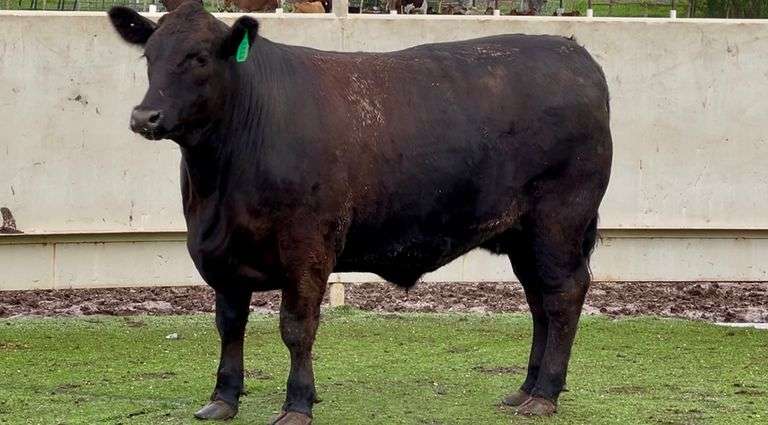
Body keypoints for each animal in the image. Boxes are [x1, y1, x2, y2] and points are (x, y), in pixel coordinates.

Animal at [107, 1, 612, 423]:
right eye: (149, 55)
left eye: (199, 58)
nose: (144, 117)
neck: (219, 181)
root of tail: (574, 53)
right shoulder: (221, 254)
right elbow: (230, 324)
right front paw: (223, 399)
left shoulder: (307, 247)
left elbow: (297, 327)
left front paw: (298, 404)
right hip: (524, 237)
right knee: (539, 301)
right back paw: (524, 389)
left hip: (559, 223)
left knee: (563, 295)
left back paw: (544, 395)